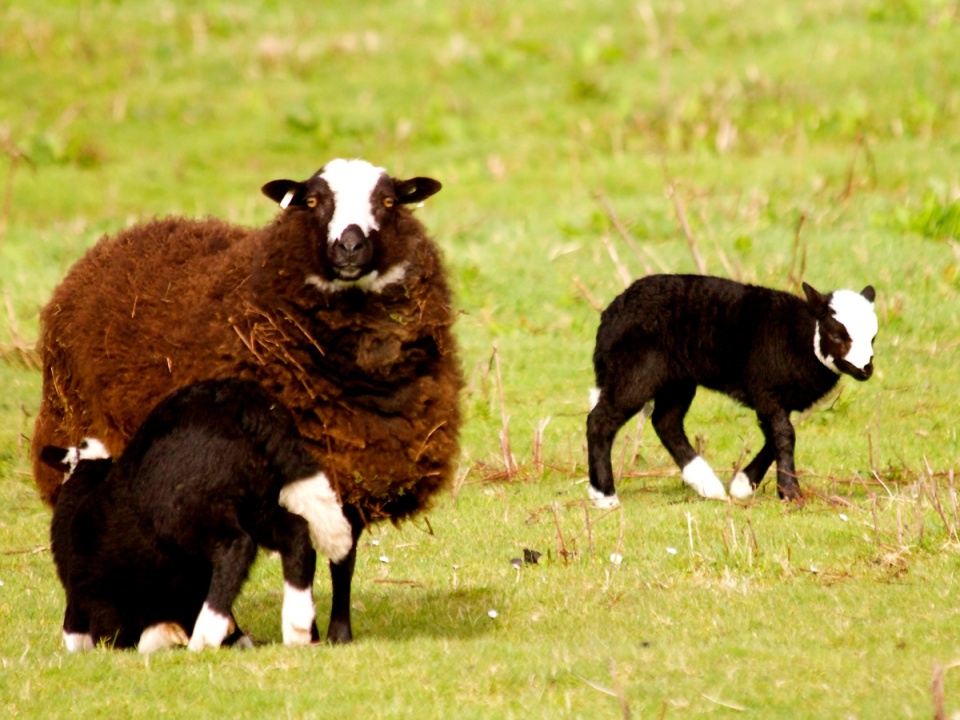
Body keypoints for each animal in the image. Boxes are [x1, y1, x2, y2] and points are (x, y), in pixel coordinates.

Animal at [41, 378, 354, 653]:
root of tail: (239, 399)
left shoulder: (94, 601)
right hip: (258, 502)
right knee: (297, 531)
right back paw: (297, 627)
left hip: (187, 512)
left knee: (235, 546)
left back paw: (205, 636)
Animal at [586, 274, 878, 507]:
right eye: (837, 335)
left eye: (873, 337)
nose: (865, 368)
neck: (800, 339)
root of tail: (610, 315)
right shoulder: (764, 390)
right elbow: (785, 434)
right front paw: (790, 493)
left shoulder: (776, 398)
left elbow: (776, 436)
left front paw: (743, 484)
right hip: (636, 372)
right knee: (600, 421)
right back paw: (605, 496)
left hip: (677, 379)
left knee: (665, 422)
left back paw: (708, 485)